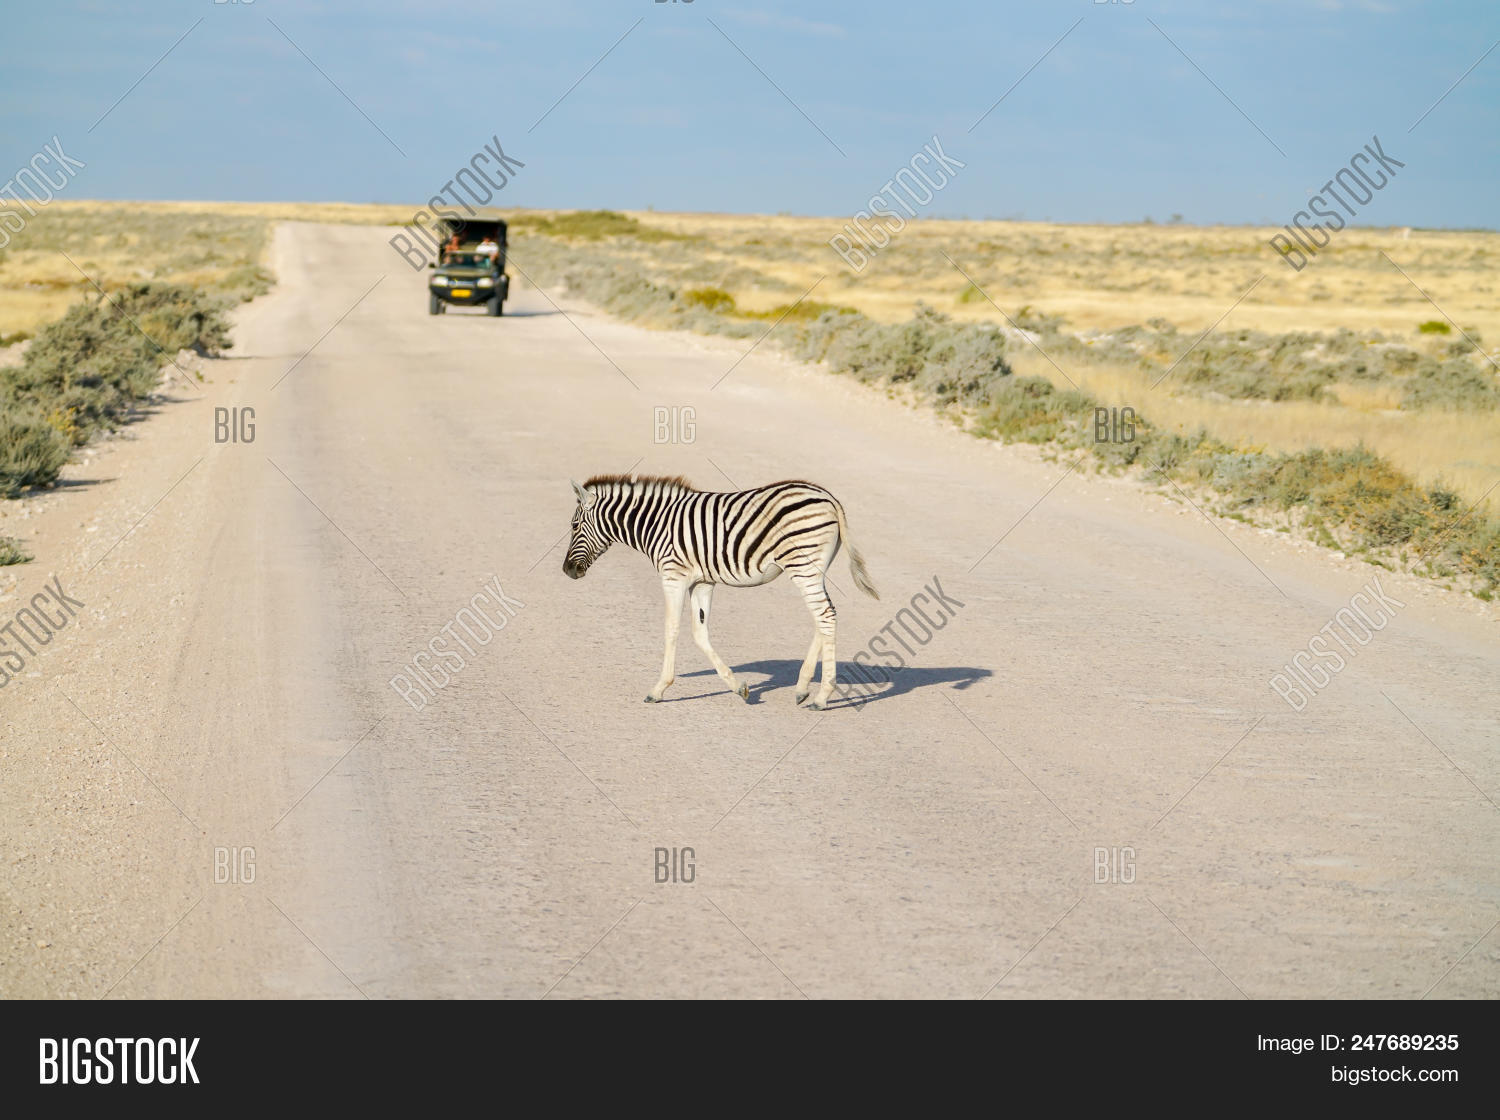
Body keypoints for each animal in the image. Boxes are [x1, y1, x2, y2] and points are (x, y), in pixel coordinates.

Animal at [563, 474, 878, 710]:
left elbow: (671, 628)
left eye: (574, 526)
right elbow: (699, 632)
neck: (656, 524)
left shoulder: (673, 576)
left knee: (825, 616)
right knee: (824, 617)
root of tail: (829, 497)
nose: (567, 571)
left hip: (803, 566)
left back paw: (823, 697)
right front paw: (738, 686)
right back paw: (802, 689)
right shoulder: (702, 581)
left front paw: (658, 689)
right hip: (812, 569)